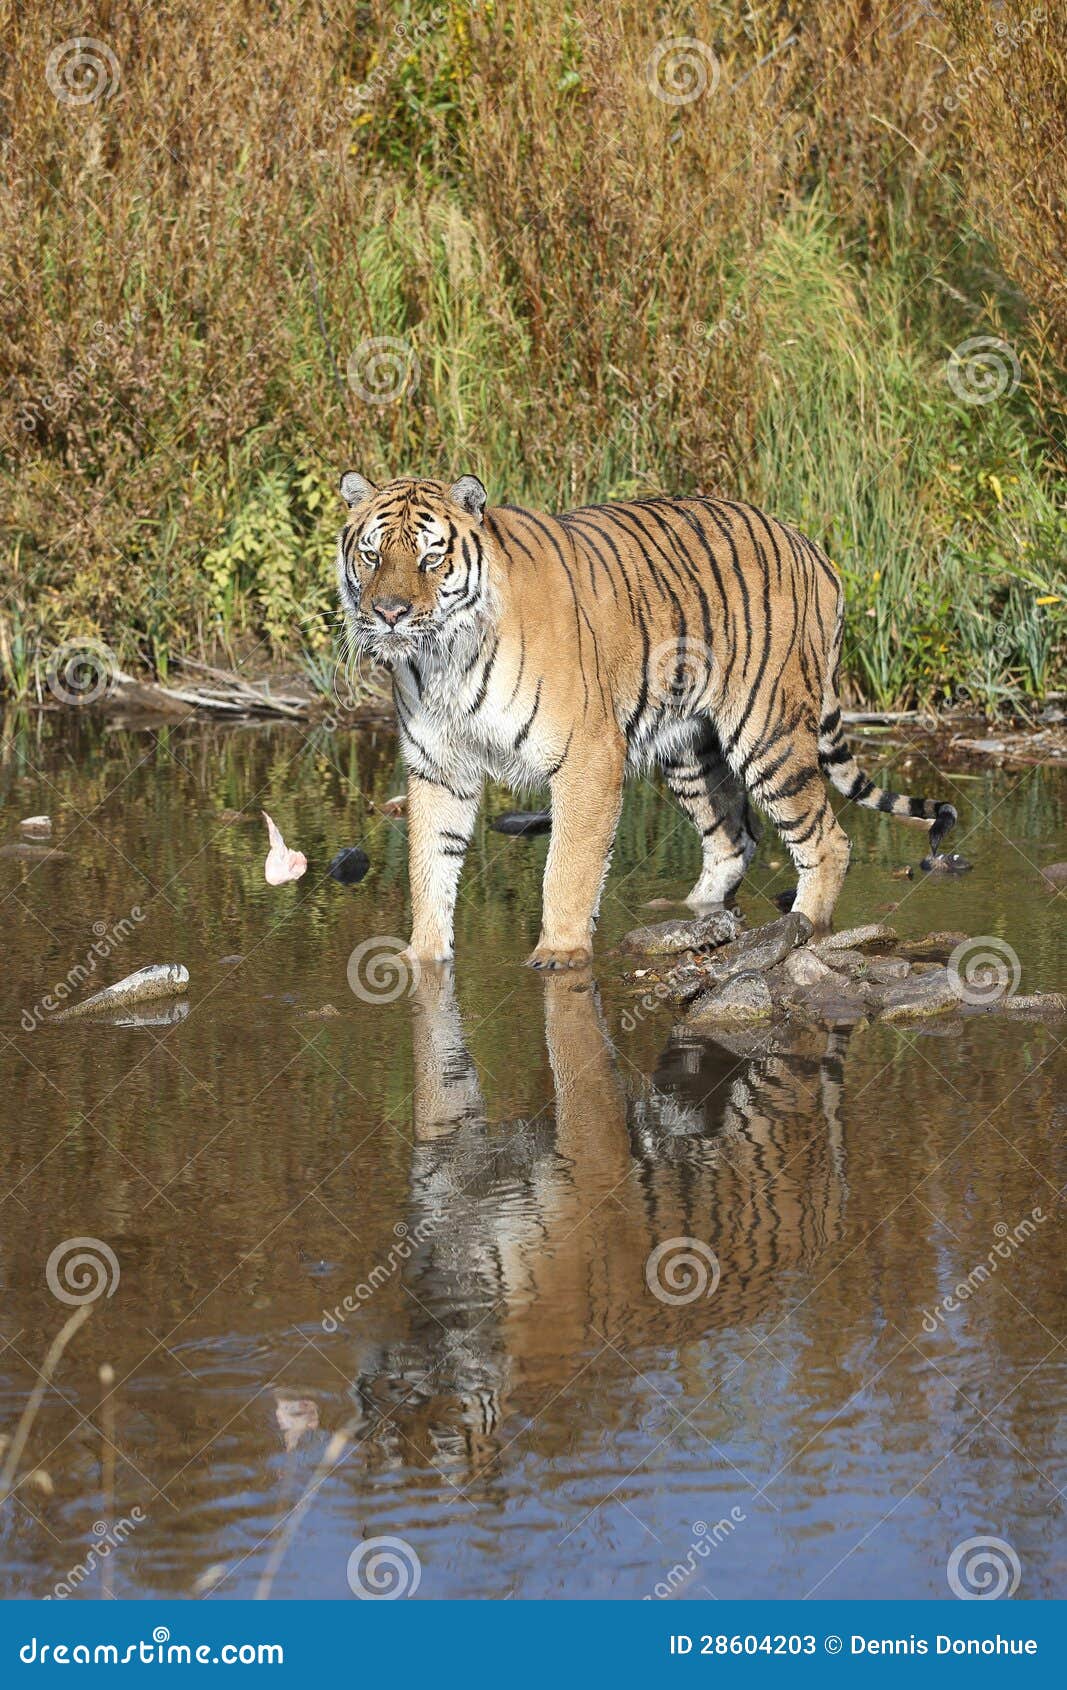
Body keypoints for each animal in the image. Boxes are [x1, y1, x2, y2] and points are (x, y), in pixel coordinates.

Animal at [337, 472, 957, 968]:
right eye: (372, 556)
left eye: (431, 557)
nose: (389, 613)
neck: (443, 658)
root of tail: (812, 548)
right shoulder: (439, 768)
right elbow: (430, 867)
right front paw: (423, 956)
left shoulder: (586, 756)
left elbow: (568, 867)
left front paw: (560, 953)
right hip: (691, 752)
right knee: (734, 838)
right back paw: (690, 915)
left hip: (769, 731)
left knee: (827, 841)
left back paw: (803, 928)